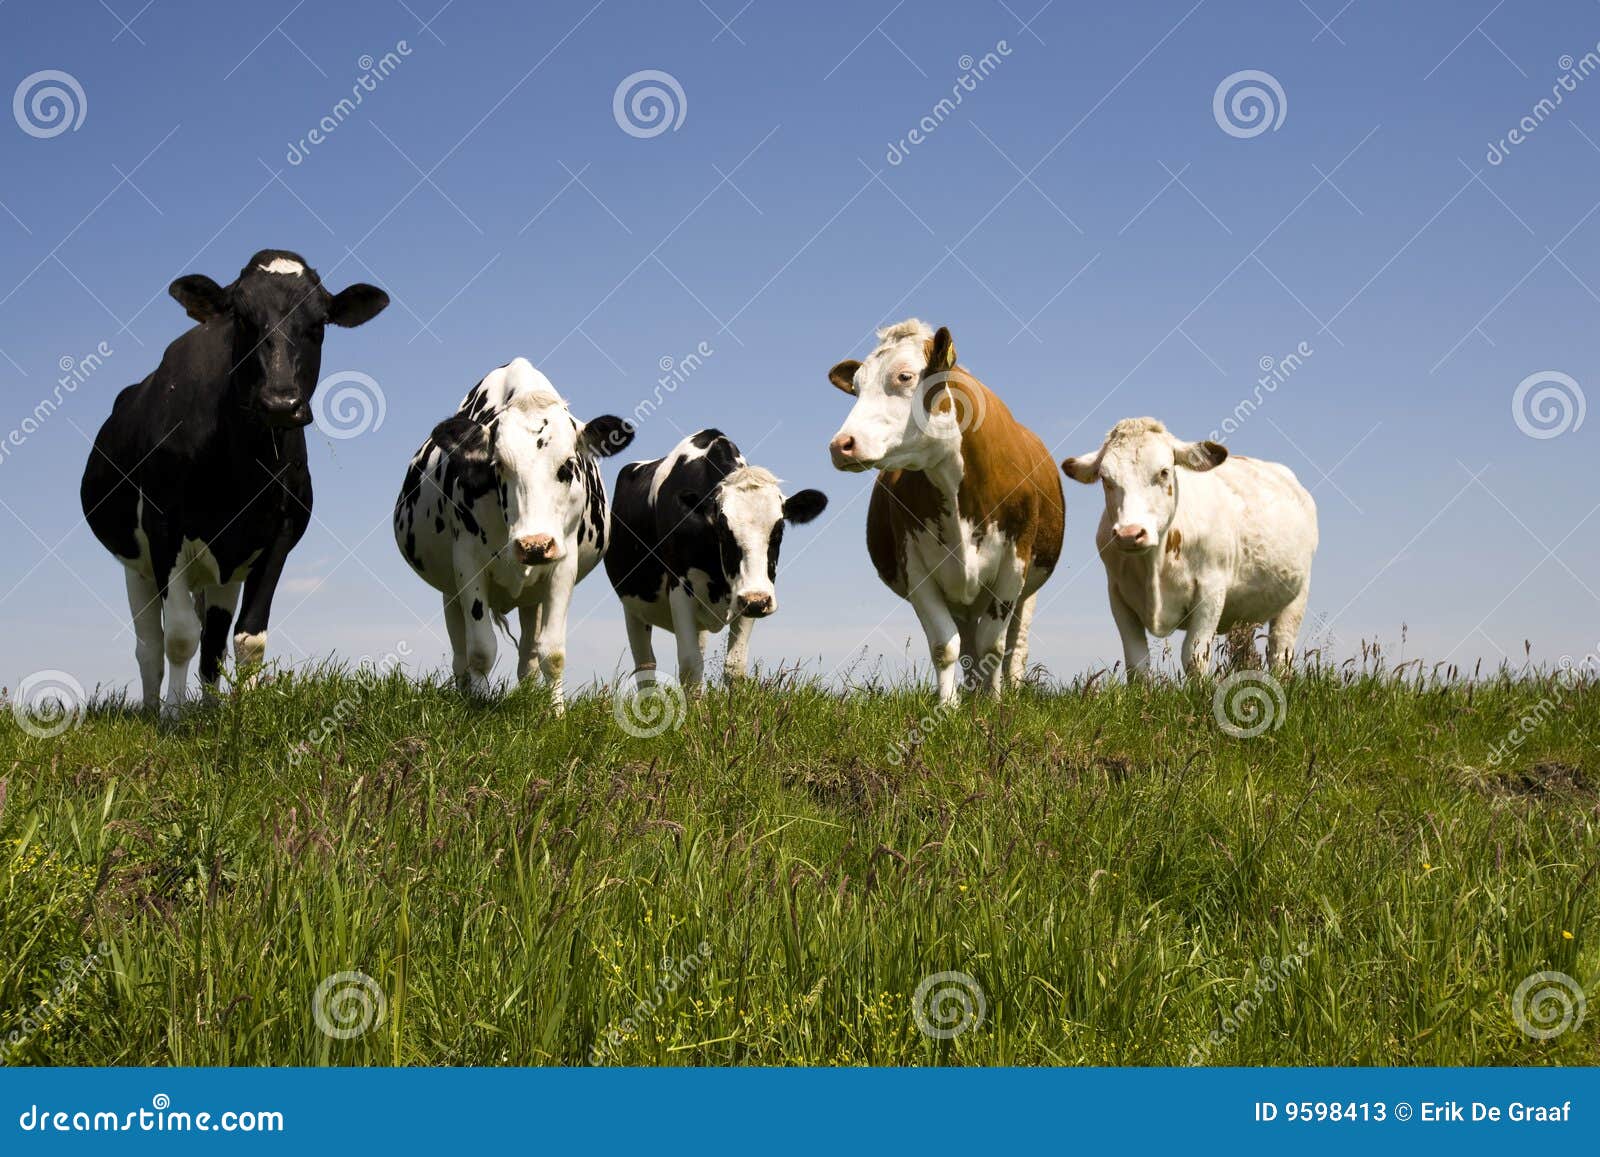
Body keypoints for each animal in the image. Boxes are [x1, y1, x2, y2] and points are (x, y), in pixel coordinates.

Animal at [80, 249, 389, 718]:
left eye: (319, 323)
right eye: (242, 318)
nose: (280, 402)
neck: (240, 468)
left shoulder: (279, 533)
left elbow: (248, 637)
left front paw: (248, 713)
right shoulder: (163, 527)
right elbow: (179, 636)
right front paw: (173, 717)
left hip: (222, 572)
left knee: (212, 643)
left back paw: (209, 706)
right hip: (137, 565)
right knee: (150, 645)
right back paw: (153, 709)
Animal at [393, 357, 633, 710]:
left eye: (567, 465)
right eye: (499, 465)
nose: (534, 544)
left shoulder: (563, 562)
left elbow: (552, 652)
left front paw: (555, 713)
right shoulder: (467, 563)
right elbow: (481, 650)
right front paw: (478, 705)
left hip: (532, 596)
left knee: (528, 656)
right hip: (450, 592)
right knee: (460, 656)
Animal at [604, 429, 827, 686]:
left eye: (779, 529)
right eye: (723, 529)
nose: (757, 600)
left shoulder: (745, 596)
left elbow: (734, 665)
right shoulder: (679, 588)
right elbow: (690, 665)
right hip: (632, 606)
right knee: (645, 666)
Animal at [826, 319, 1064, 704]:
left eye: (904, 376)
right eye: (857, 387)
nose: (840, 445)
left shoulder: (1014, 564)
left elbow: (993, 645)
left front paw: (994, 703)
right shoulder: (917, 568)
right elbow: (945, 646)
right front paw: (949, 706)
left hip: (1028, 587)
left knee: (1014, 645)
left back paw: (1005, 690)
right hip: (962, 598)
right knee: (966, 642)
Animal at [1060, 417, 1318, 678]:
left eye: (1164, 472)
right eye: (1105, 479)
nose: (1129, 534)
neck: (1155, 564)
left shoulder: (1211, 590)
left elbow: (1194, 656)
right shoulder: (1117, 595)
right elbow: (1137, 662)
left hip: (1297, 596)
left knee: (1280, 652)